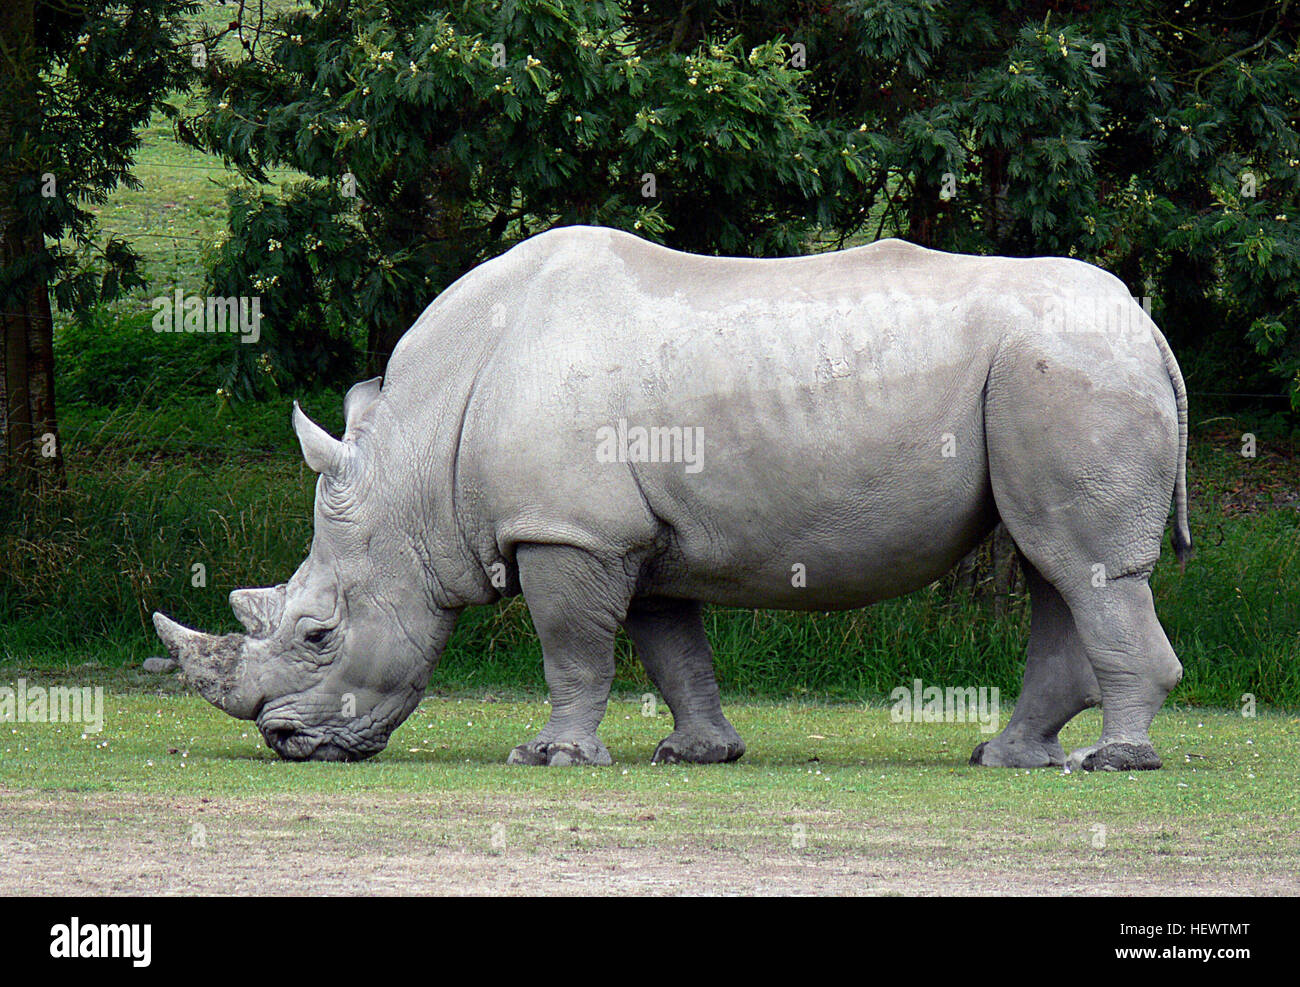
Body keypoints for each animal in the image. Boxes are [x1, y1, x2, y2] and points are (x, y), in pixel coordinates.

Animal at [153, 225, 1191, 772]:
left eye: (318, 633)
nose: (286, 740)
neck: (417, 462)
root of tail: (1147, 325)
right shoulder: (631, 535)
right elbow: (670, 647)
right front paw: (699, 754)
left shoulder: (569, 530)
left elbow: (572, 648)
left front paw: (551, 757)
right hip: (1058, 372)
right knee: (1058, 565)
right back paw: (1008, 759)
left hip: (1069, 371)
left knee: (1083, 566)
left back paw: (1114, 764)